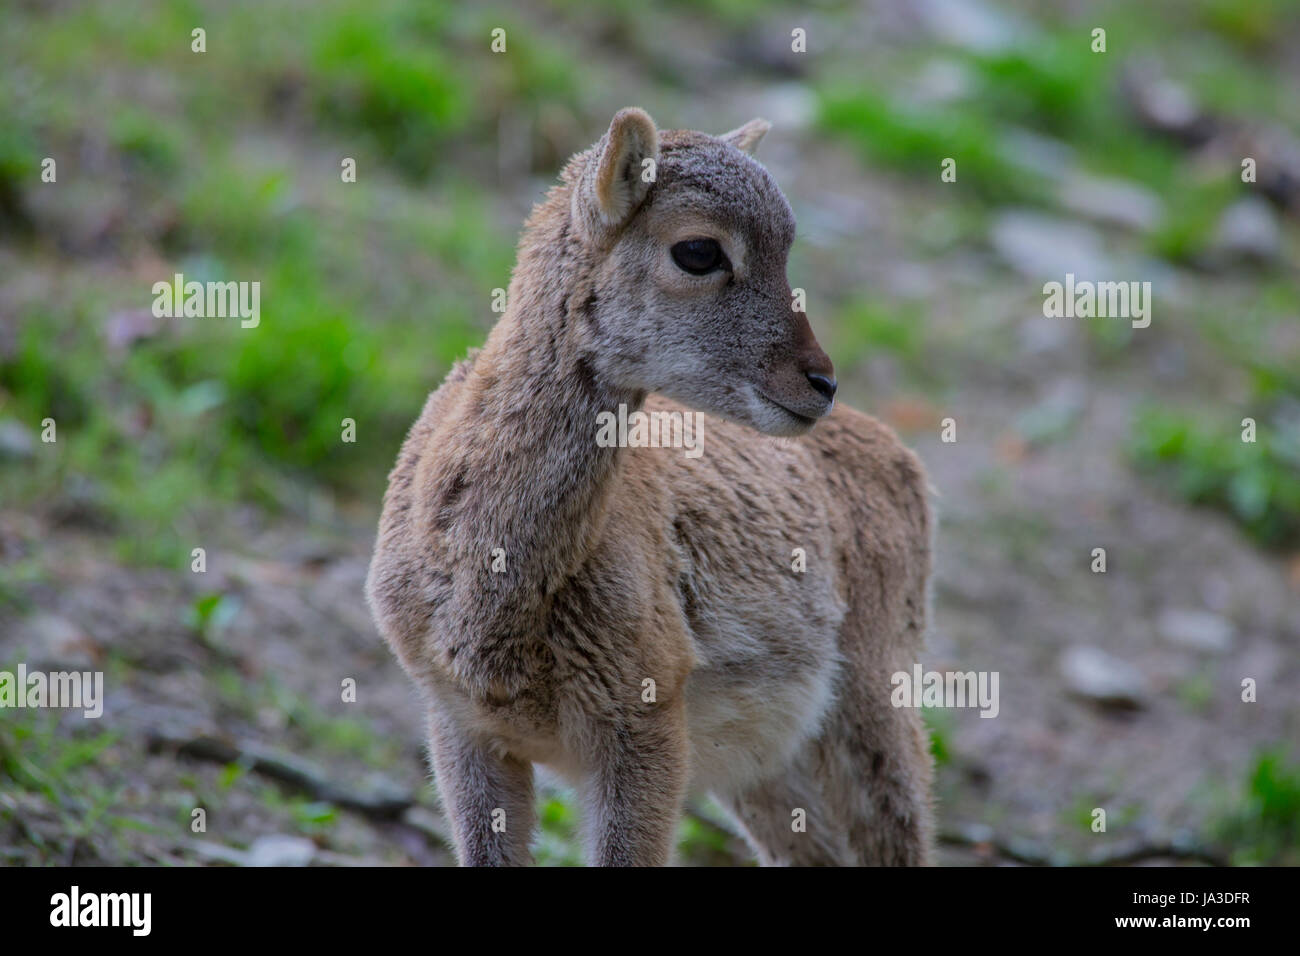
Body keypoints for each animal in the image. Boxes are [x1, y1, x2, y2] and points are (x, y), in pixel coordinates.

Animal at [365, 108, 935, 866]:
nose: (819, 382)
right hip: (769, 769)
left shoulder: (646, 723)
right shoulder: (463, 727)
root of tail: (900, 459)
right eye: (698, 251)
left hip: (876, 706)